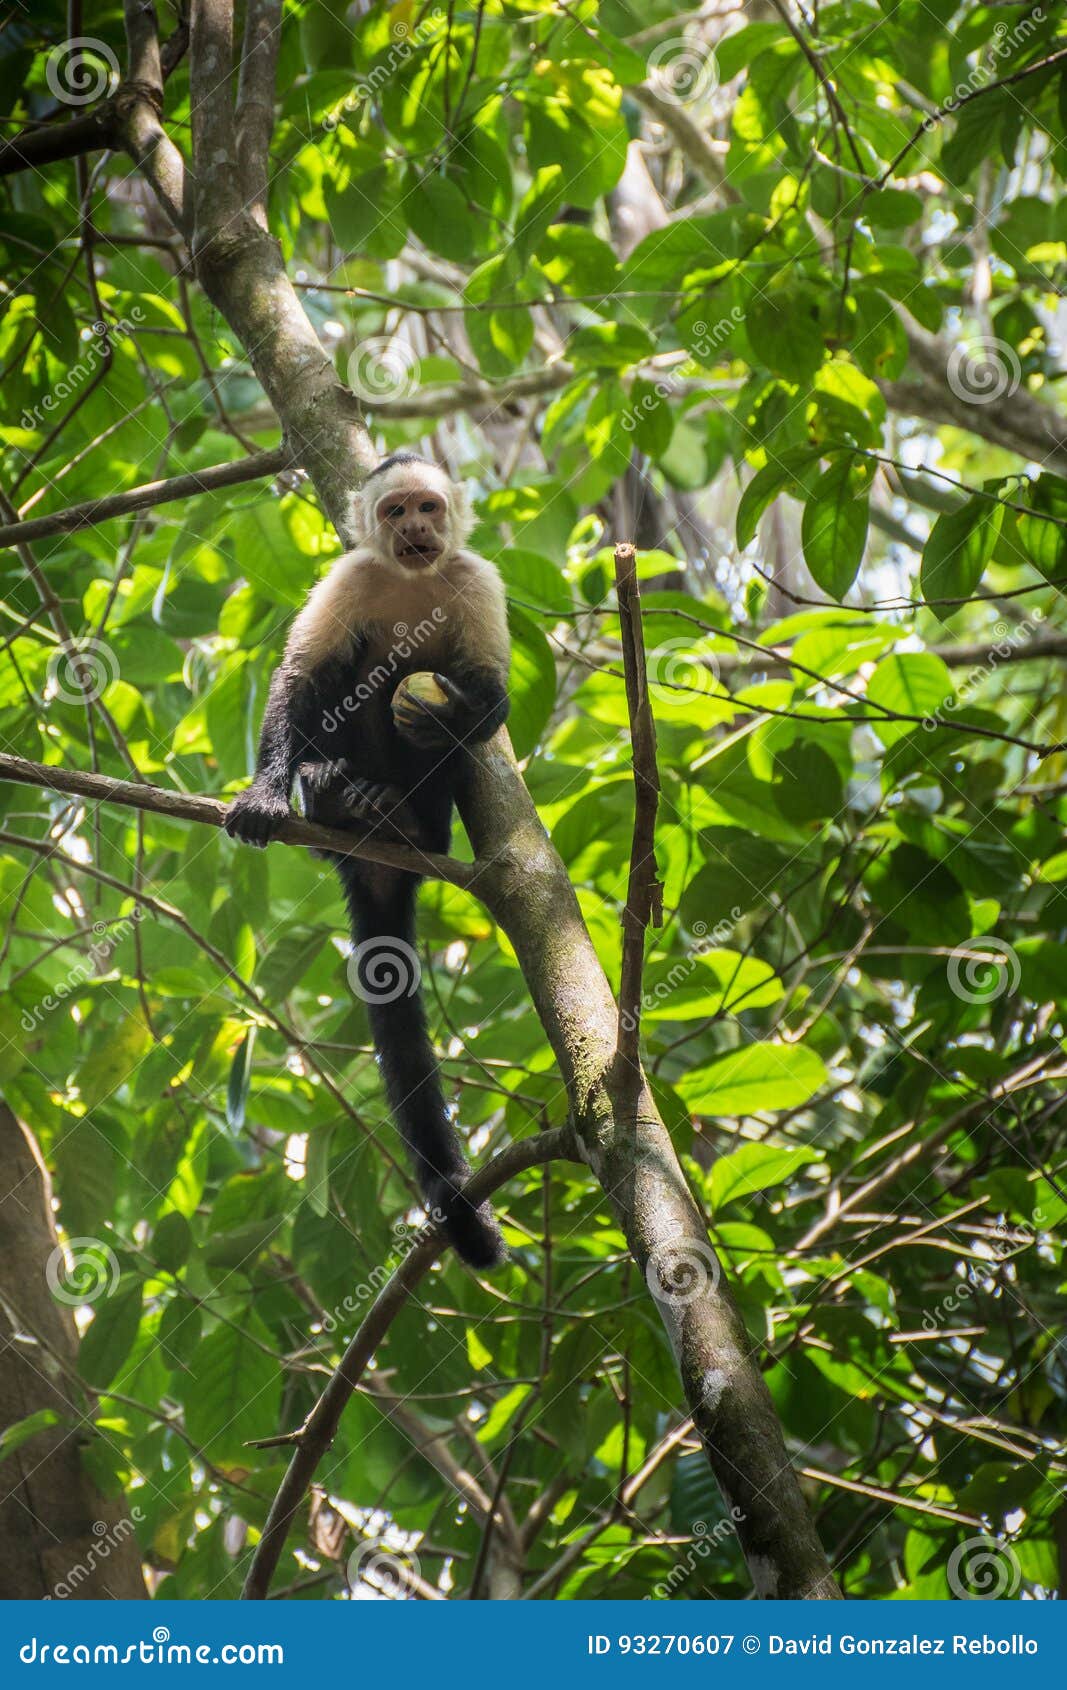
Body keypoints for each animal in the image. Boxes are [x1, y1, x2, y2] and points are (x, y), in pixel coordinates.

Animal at [224, 453, 510, 1269]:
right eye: (392, 512)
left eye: (426, 506)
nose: (414, 528)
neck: (412, 578)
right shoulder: (349, 575)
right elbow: (299, 680)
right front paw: (268, 791)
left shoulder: (476, 577)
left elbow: (489, 696)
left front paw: (446, 712)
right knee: (354, 673)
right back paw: (333, 799)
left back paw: (411, 823)